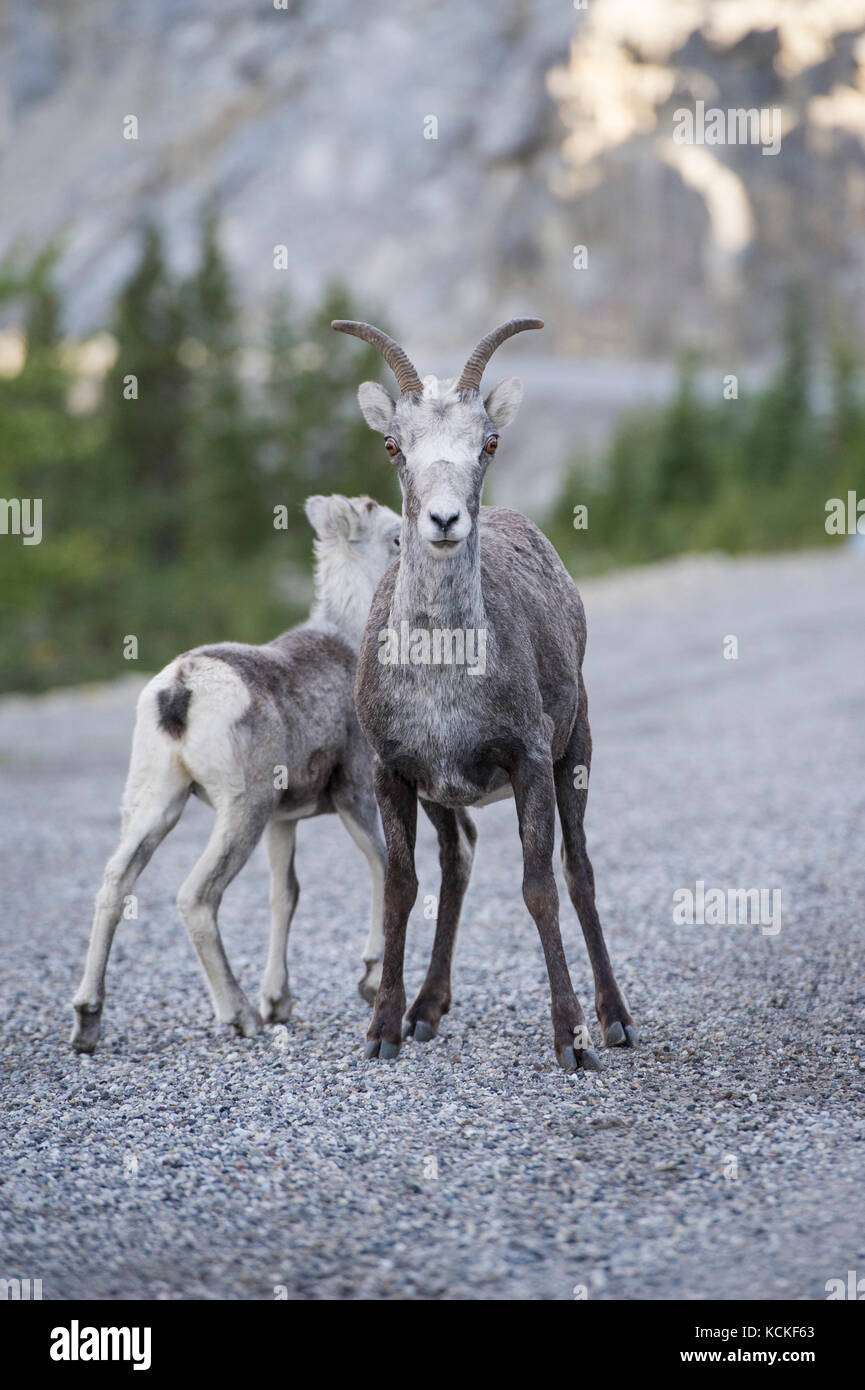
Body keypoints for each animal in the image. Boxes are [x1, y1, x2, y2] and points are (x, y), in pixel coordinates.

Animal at [70, 494, 401, 1053]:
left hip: (155, 802)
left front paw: (279, 1002)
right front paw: (367, 980)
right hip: (241, 810)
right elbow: (381, 867)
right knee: (196, 897)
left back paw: (87, 1023)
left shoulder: (284, 822)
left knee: (114, 884)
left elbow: (285, 895)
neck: (351, 635)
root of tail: (182, 689)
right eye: (397, 537)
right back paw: (240, 1015)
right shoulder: (355, 795)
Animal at [332, 319, 638, 1072]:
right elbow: (401, 890)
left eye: (488, 443)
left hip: (575, 753)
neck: (443, 675)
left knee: (578, 871)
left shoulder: (528, 763)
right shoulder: (394, 773)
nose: (444, 521)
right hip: (444, 798)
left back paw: (616, 1021)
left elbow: (539, 888)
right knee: (457, 863)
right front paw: (383, 1031)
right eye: (394, 445)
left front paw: (571, 1042)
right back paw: (427, 1011)